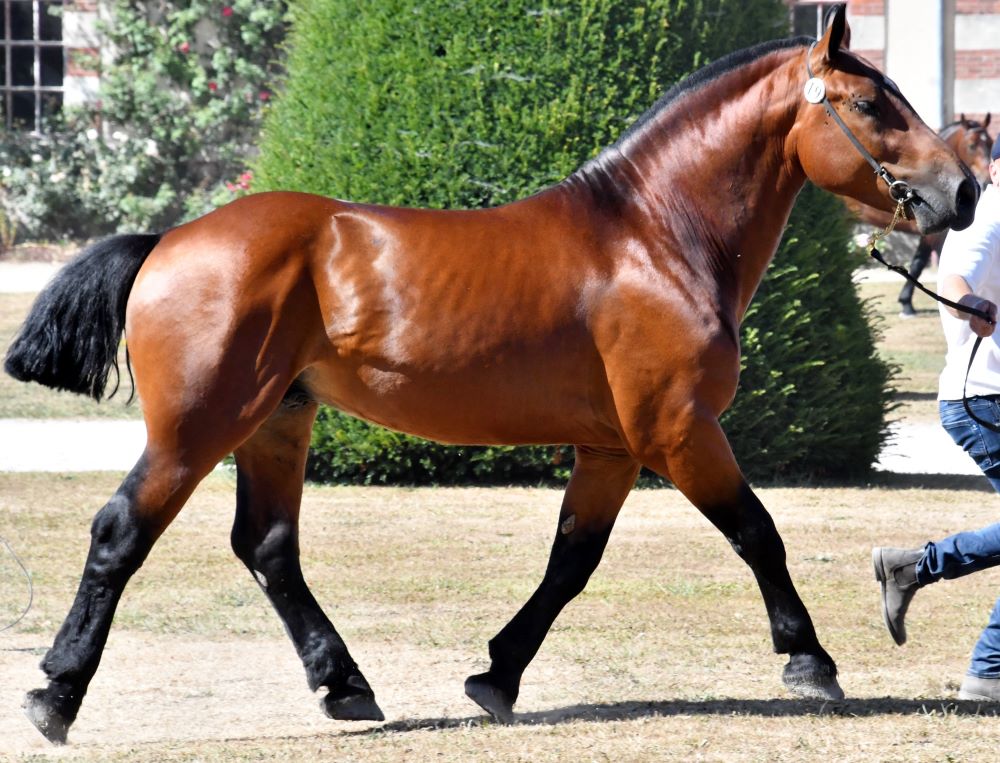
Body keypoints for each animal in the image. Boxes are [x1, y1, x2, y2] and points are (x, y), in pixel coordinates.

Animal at [846, 114, 993, 315]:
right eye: (971, 145)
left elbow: (919, 262)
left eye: (991, 142)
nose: (986, 180)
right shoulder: (936, 235)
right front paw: (907, 305)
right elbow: (922, 263)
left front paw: (906, 302)